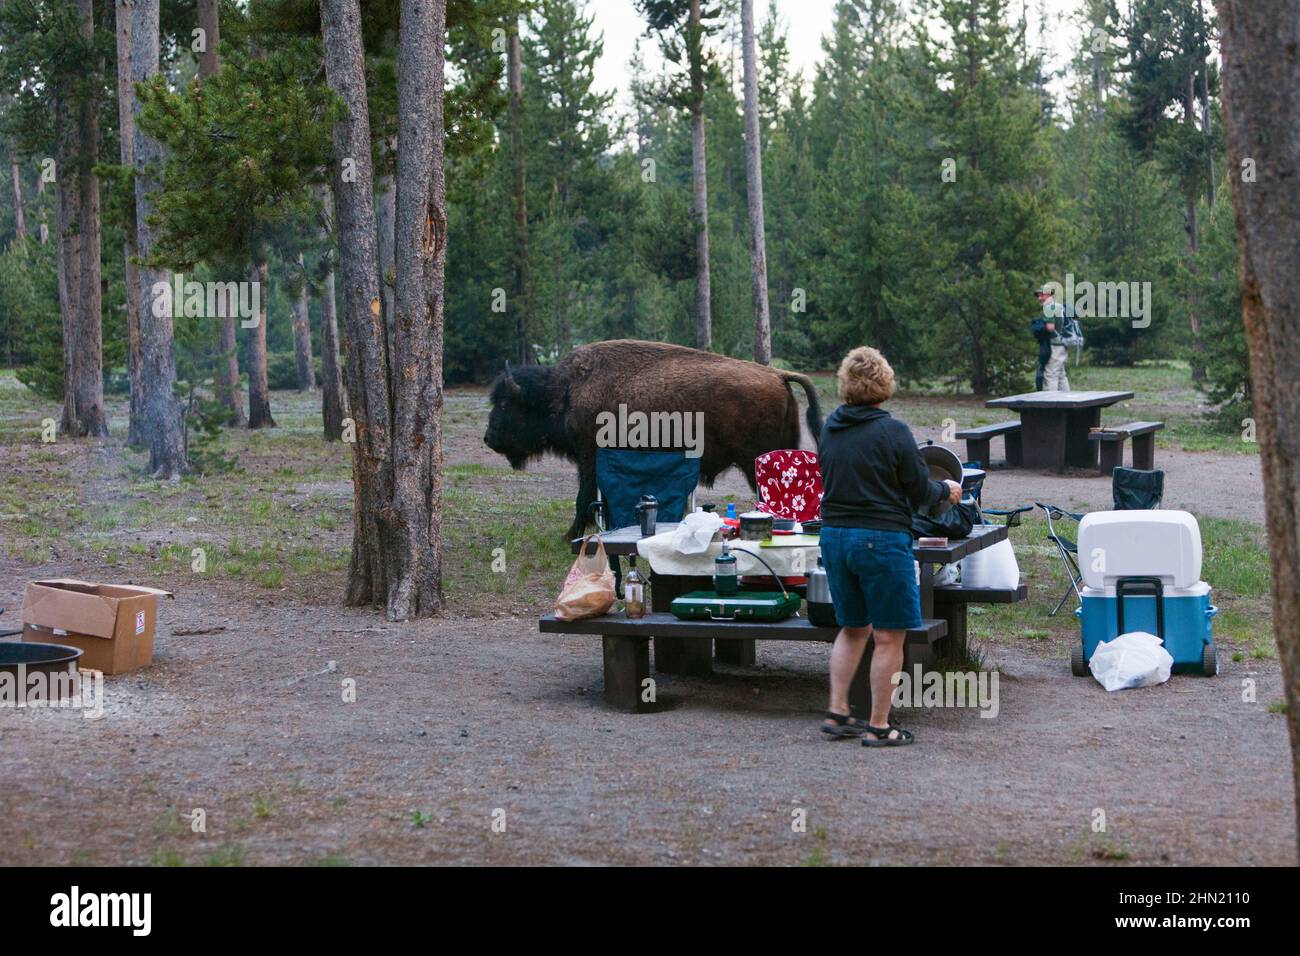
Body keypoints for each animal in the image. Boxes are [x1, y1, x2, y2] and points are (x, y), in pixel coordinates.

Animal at [484, 339, 824, 539]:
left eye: (505, 404)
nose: (488, 438)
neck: (563, 391)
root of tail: (778, 375)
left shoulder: (588, 459)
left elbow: (583, 498)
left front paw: (570, 536)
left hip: (759, 462)